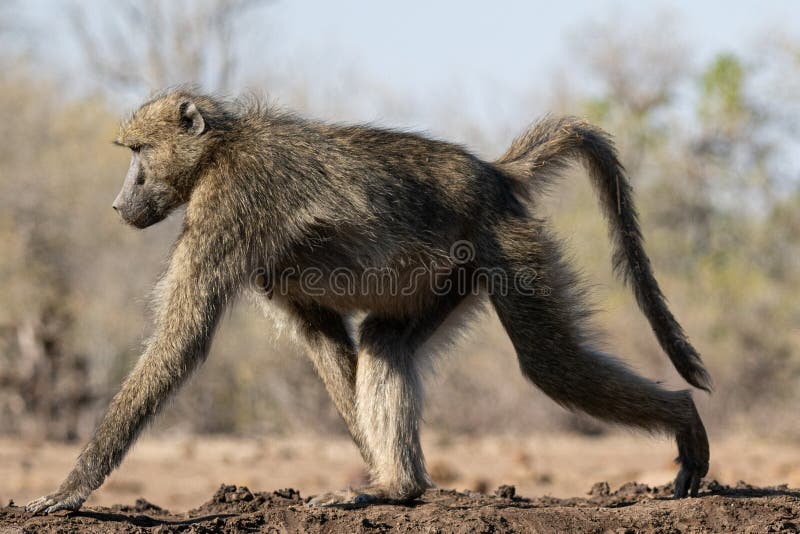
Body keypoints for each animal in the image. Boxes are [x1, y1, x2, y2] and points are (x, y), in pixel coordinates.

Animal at [26, 88, 710, 514]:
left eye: (138, 153)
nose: (120, 204)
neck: (221, 149)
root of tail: (493, 173)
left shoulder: (229, 206)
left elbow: (180, 341)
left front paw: (70, 490)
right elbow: (326, 341)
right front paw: (380, 471)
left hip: (506, 244)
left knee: (550, 364)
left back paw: (684, 419)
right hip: (451, 272)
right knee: (386, 344)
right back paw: (398, 487)